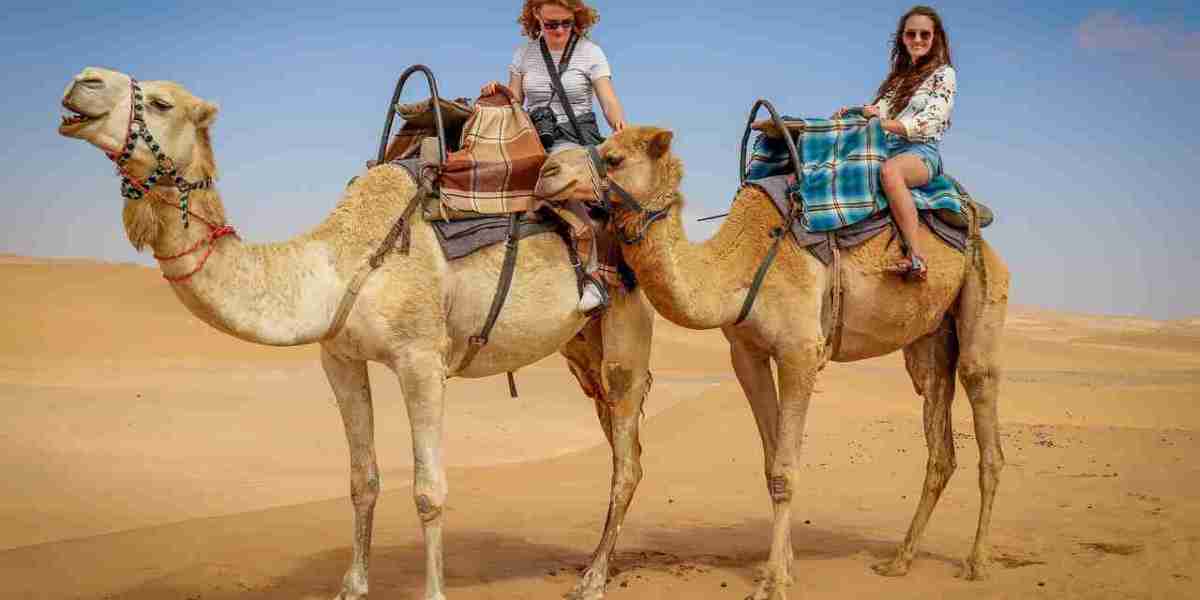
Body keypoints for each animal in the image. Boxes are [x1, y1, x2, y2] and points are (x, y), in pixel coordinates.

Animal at [57, 66, 654, 600]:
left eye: (161, 103)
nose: (82, 81)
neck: (337, 261)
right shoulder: (339, 358)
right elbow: (361, 480)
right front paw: (352, 586)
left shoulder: (421, 358)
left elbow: (428, 490)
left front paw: (433, 593)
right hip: (581, 348)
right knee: (621, 447)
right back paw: (599, 563)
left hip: (625, 329)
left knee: (626, 461)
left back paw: (593, 579)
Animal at [536, 127, 1010, 600]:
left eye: (612, 158)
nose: (546, 171)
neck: (737, 266)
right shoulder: (747, 354)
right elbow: (770, 465)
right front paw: (784, 569)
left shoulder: (801, 350)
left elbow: (785, 470)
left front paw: (773, 582)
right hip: (929, 339)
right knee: (939, 434)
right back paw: (899, 561)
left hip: (984, 294)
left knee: (983, 407)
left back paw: (977, 562)